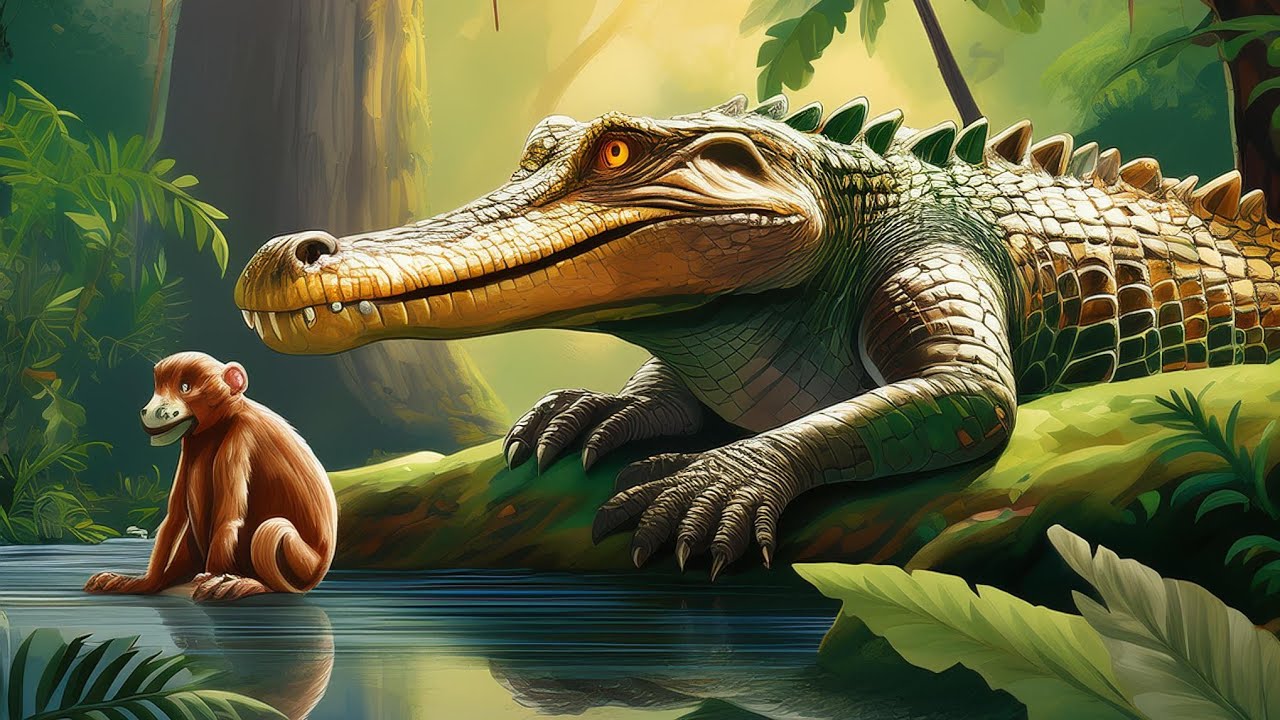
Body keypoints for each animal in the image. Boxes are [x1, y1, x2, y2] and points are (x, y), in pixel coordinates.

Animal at [84, 351, 337, 602]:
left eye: (185, 387)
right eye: (158, 387)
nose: (151, 410)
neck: (225, 418)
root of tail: (321, 567)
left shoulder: (240, 438)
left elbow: (229, 518)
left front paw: (215, 577)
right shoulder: (190, 443)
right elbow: (175, 516)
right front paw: (144, 583)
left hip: (301, 562)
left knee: (271, 531)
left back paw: (249, 583)